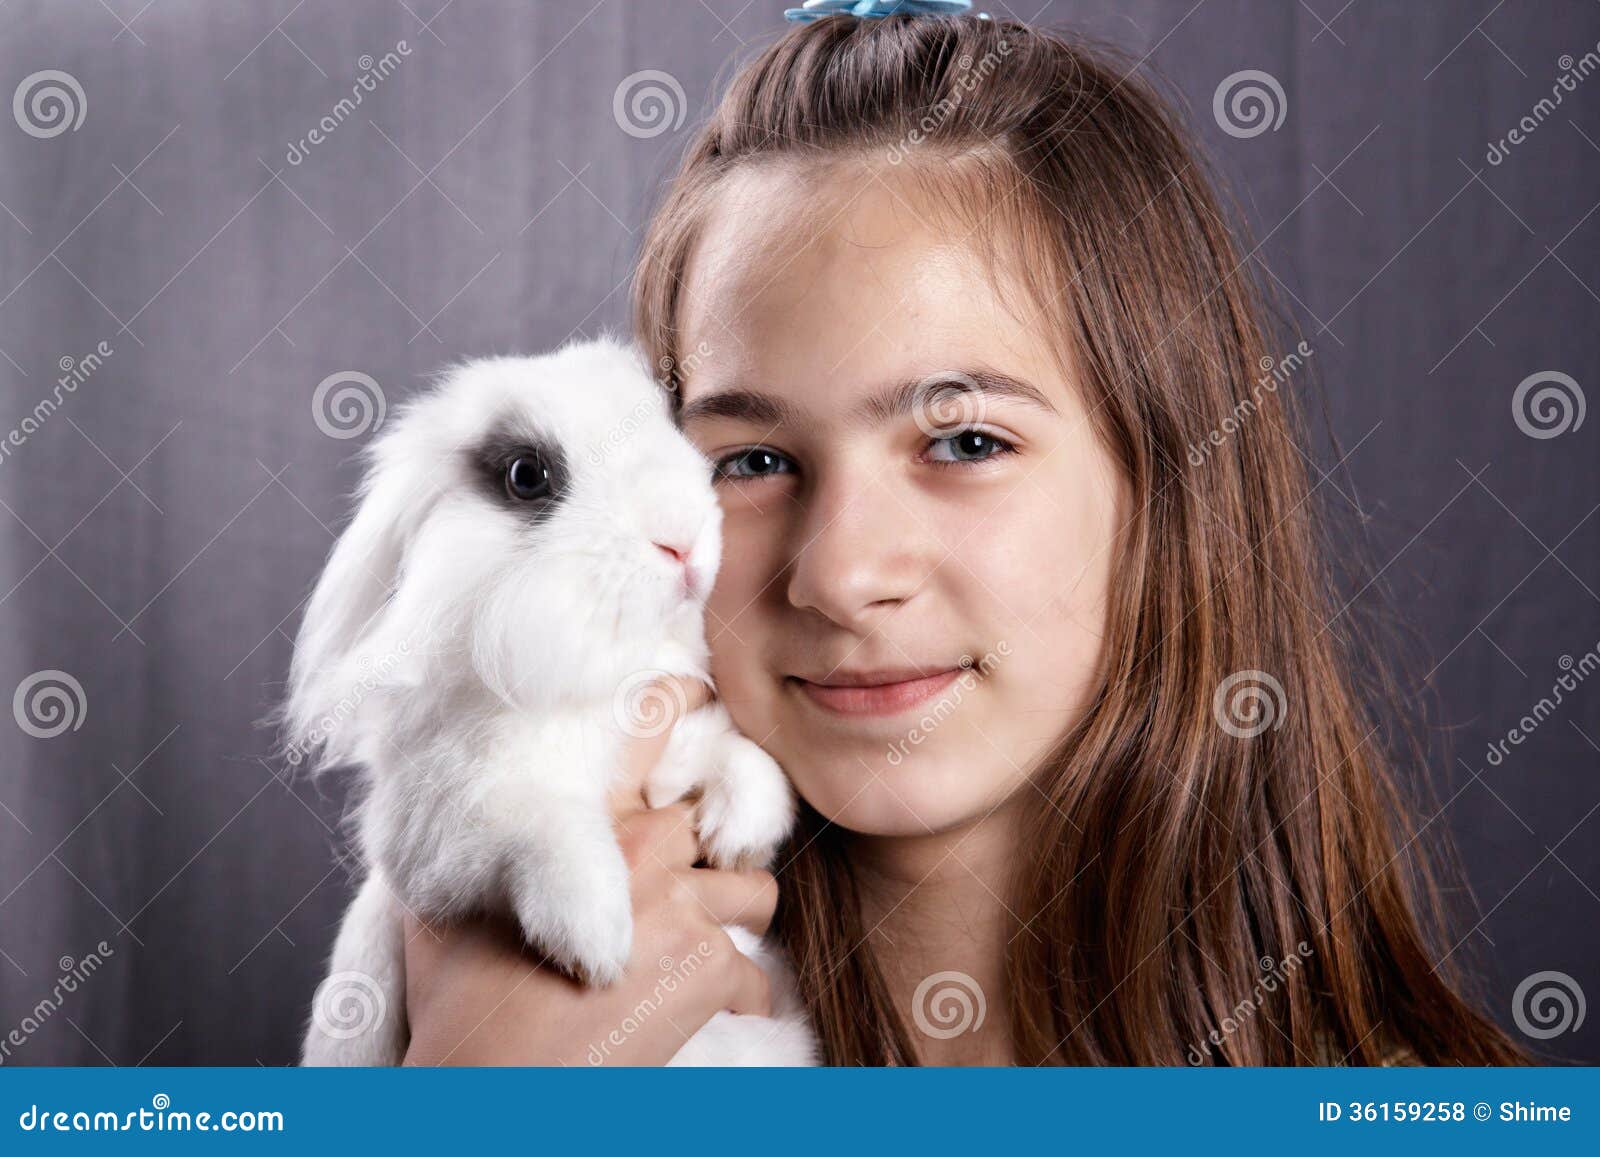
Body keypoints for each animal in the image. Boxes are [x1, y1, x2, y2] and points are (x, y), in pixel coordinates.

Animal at [283, 336, 817, 1067]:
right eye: (527, 475)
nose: (683, 543)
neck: (594, 678)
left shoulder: (675, 744)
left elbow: (730, 752)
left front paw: (739, 833)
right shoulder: (447, 826)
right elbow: (544, 826)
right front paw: (596, 945)